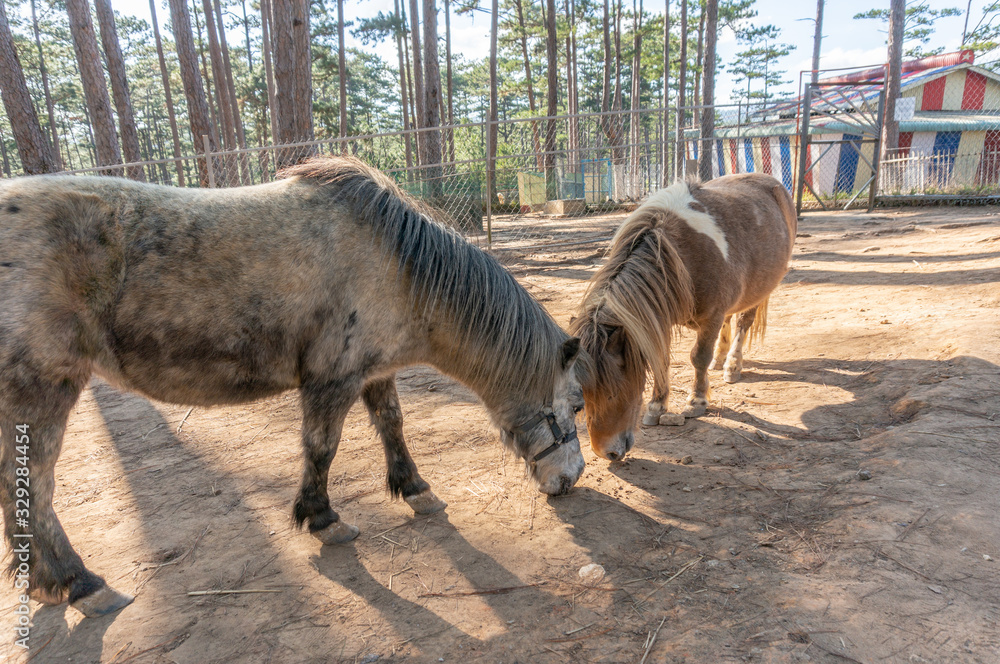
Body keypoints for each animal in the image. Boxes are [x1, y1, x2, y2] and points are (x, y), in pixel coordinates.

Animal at [0, 156, 587, 618]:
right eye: (577, 405)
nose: (572, 479)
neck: (398, 267)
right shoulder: (332, 381)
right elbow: (322, 449)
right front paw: (323, 518)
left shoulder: (375, 373)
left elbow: (393, 426)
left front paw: (415, 491)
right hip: (43, 387)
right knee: (34, 485)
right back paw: (80, 584)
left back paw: (46, 584)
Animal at [569, 173, 796, 461]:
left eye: (613, 392)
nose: (606, 453)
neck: (679, 257)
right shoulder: (657, 320)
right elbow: (661, 361)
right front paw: (657, 406)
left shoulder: (709, 317)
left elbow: (698, 358)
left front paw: (696, 402)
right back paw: (720, 359)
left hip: (758, 292)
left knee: (743, 324)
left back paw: (732, 365)